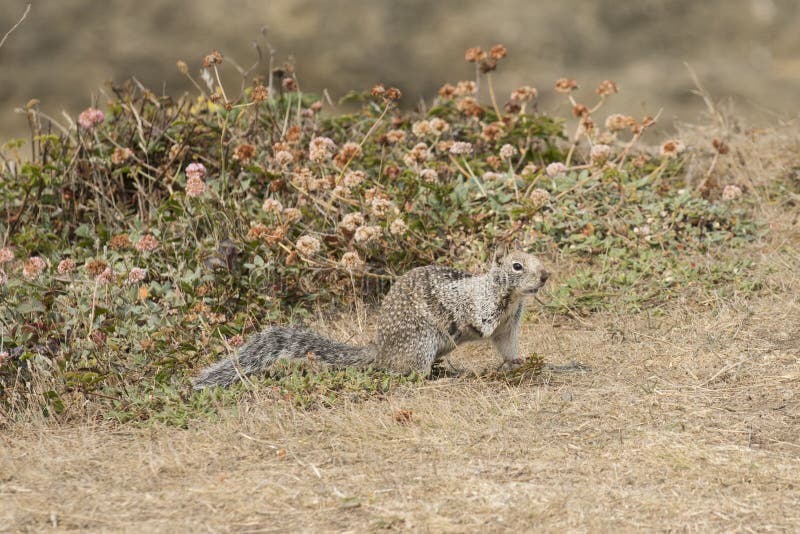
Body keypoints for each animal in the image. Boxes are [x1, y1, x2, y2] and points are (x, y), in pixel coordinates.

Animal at [191, 250, 549, 389]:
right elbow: (482, 322)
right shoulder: (482, 307)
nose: (546, 275)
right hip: (421, 342)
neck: (510, 299)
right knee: (408, 375)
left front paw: (517, 363)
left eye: (537, 258)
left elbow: (506, 345)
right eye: (517, 265)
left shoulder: (509, 326)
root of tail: (380, 349)